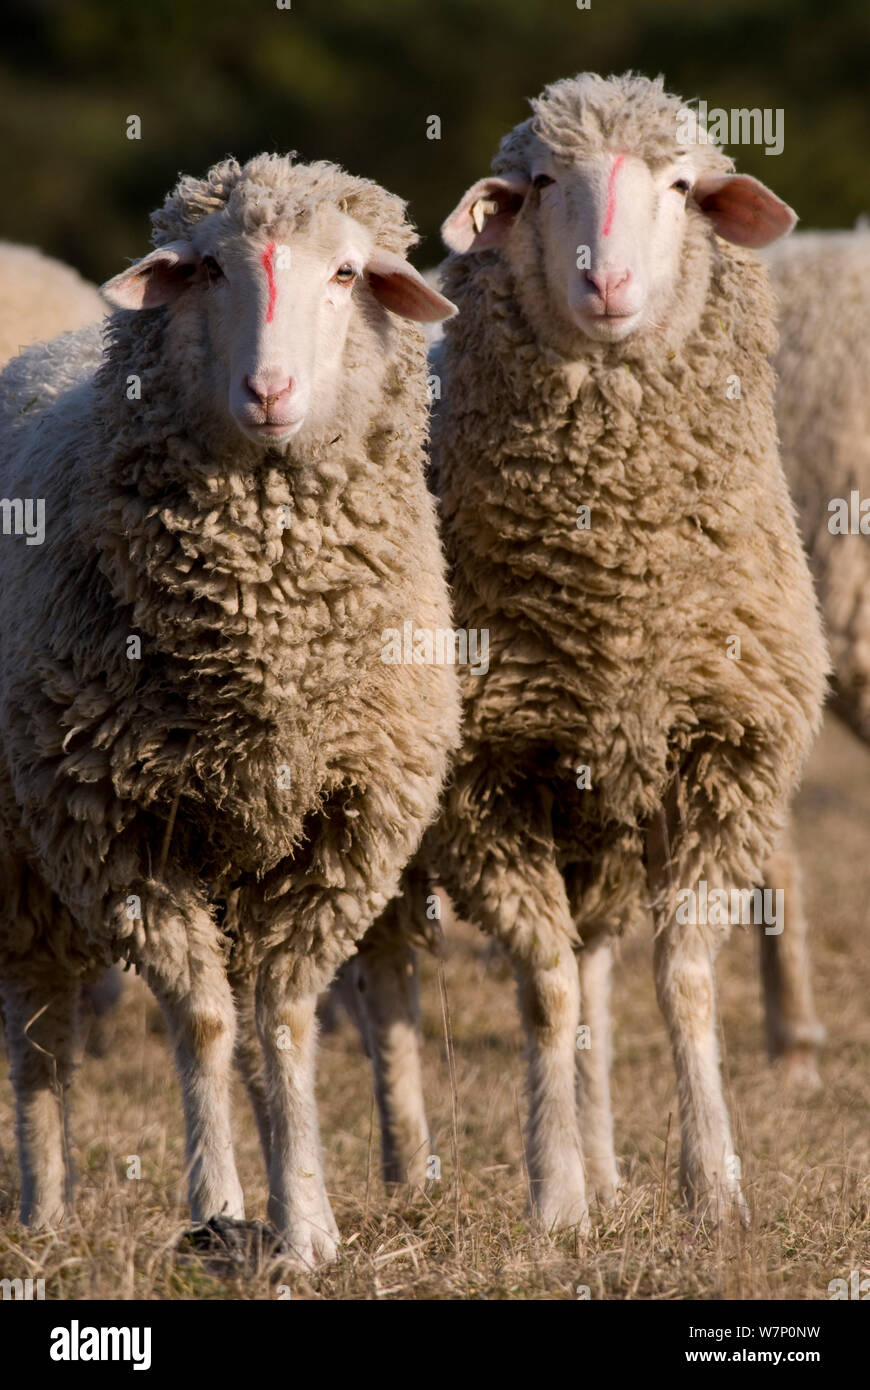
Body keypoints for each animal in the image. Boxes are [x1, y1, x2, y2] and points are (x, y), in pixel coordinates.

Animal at [0, 152, 460, 1266]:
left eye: (346, 273)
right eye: (208, 268)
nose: (270, 391)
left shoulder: (344, 827)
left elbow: (282, 1023)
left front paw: (307, 1227)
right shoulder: (115, 826)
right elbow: (204, 1022)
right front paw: (215, 1206)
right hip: (19, 846)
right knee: (40, 1031)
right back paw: (45, 1211)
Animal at [354, 72, 828, 1230]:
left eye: (681, 186)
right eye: (539, 184)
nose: (605, 281)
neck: (620, 588)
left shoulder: (724, 761)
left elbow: (679, 979)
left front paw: (711, 1186)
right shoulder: (482, 788)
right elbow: (545, 985)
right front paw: (556, 1197)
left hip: (603, 815)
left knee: (601, 964)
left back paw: (613, 1162)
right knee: (383, 990)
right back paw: (407, 1167)